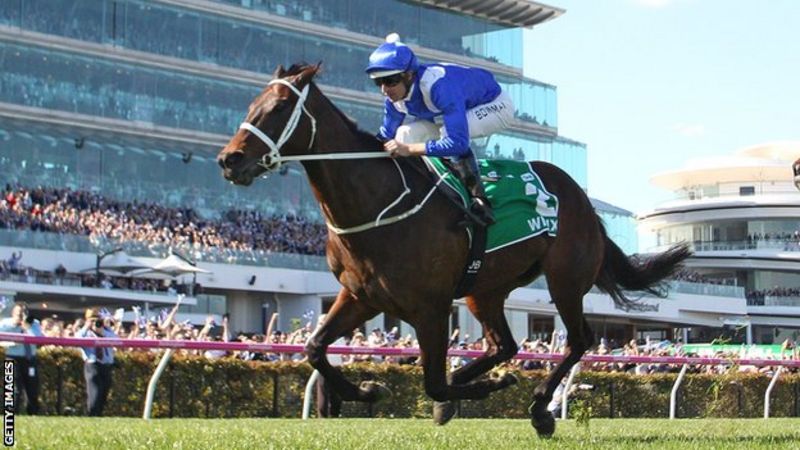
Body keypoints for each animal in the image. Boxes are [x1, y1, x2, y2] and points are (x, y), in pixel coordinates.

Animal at [217, 63, 691, 437]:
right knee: (504, 346)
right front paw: (370, 388)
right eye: (252, 103)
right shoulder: (360, 296)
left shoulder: (430, 307)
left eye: (279, 107)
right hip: (485, 289)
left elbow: (432, 381)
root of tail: (582, 198)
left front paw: (486, 389)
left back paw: (539, 408)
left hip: (565, 279)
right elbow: (315, 348)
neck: (375, 203)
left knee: (578, 339)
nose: (229, 160)